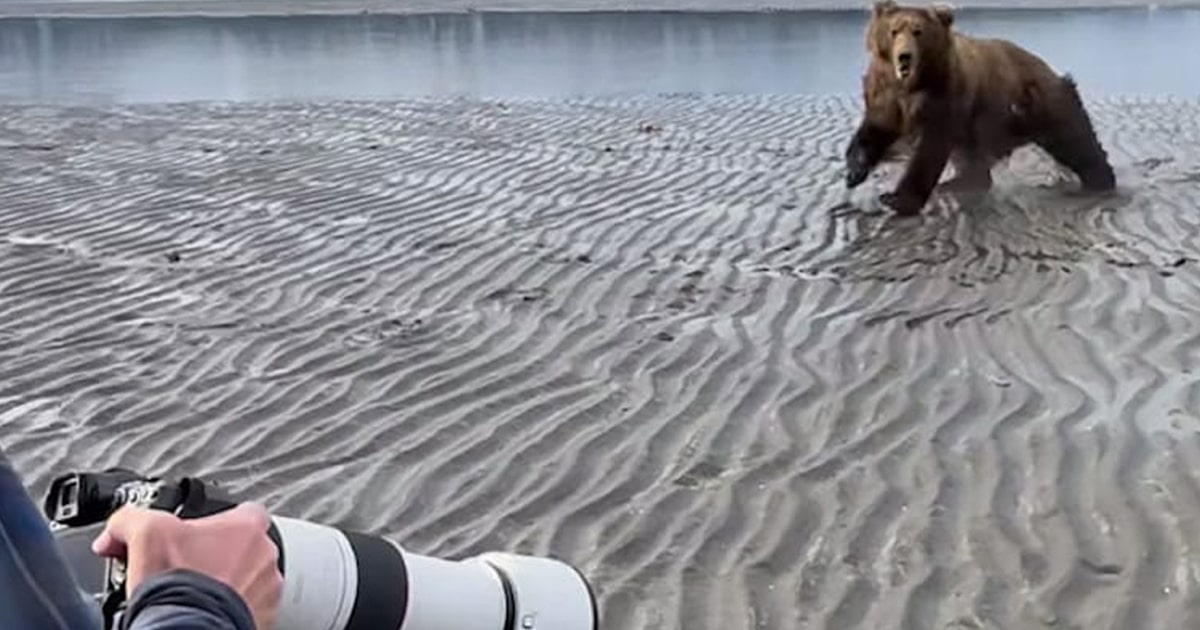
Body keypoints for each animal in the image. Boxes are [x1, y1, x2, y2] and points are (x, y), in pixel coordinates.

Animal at [844, 0, 1116, 216]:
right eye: (894, 31)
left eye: (918, 31)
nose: (904, 57)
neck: (912, 86)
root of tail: (1048, 68)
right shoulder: (886, 97)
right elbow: (875, 130)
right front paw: (855, 172)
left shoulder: (944, 99)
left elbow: (928, 151)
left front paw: (896, 199)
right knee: (972, 157)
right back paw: (957, 183)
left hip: (1039, 103)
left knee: (1075, 139)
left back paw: (1101, 181)